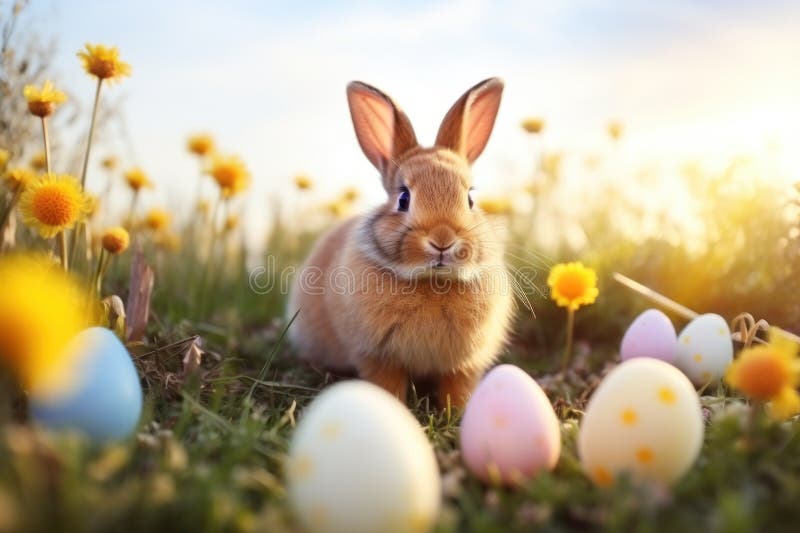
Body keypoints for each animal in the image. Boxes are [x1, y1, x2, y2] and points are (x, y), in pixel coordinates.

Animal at [287, 77, 514, 408]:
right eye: (403, 198)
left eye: (470, 199)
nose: (443, 240)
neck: (432, 282)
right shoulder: (377, 356)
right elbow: (388, 384)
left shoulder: (464, 365)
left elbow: (457, 387)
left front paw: (457, 411)